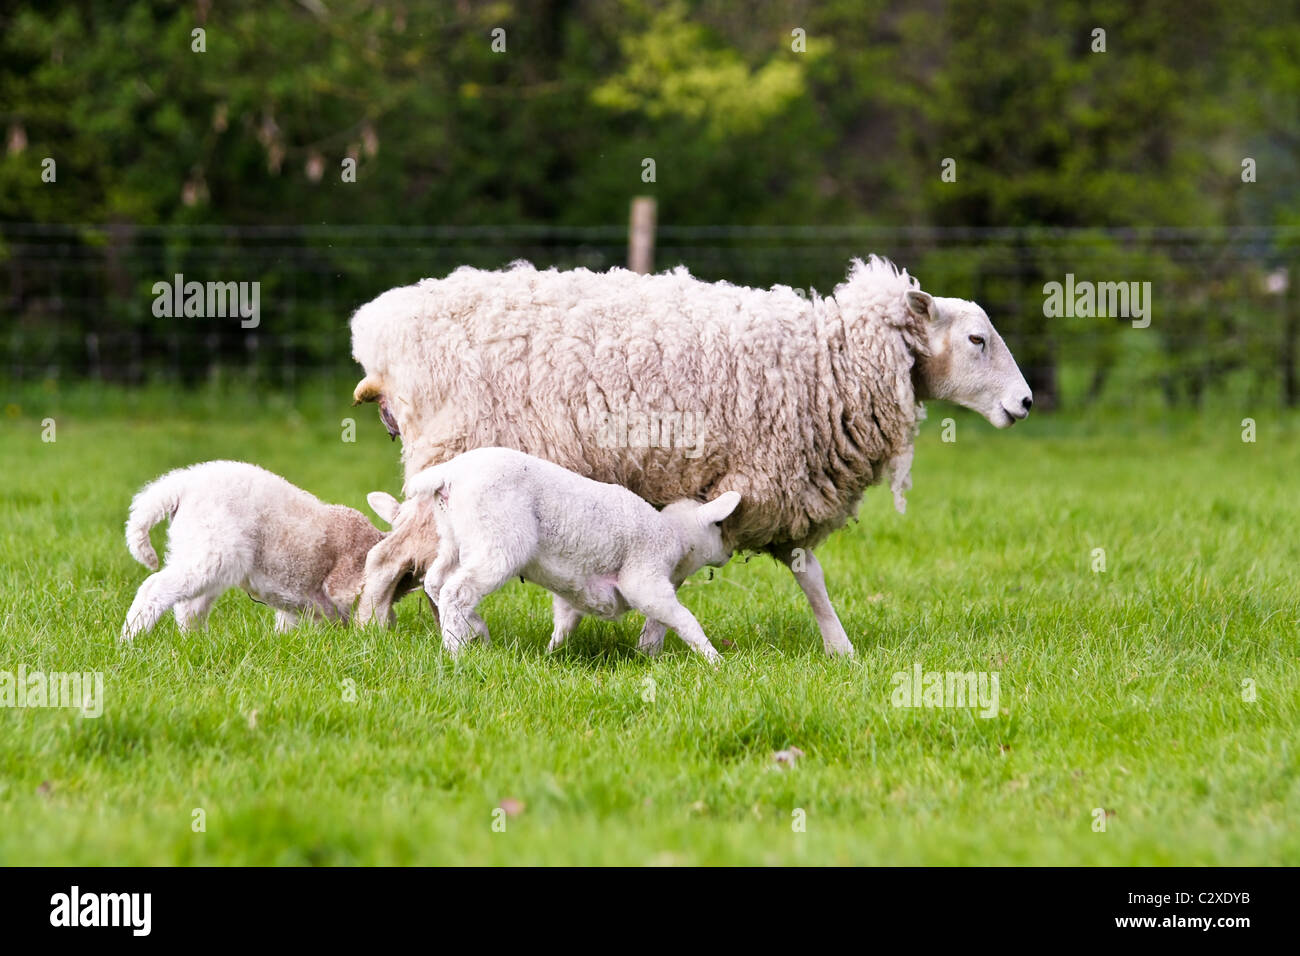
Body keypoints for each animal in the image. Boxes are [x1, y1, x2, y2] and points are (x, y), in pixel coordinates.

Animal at [120, 460, 416, 640]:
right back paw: (131, 638)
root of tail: (180, 485)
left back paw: (195, 640)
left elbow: (290, 619)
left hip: (200, 549)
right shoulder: (346, 579)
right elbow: (366, 605)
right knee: (155, 587)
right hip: (213, 548)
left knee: (189, 606)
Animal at [403, 446, 741, 660]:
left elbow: (565, 624)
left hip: (454, 537)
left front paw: (551, 656)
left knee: (436, 582)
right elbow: (682, 619)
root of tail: (450, 471)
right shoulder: (645, 580)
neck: (674, 534)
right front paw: (714, 660)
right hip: (499, 538)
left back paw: (474, 629)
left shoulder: (573, 594)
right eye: (719, 526)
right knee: (456, 591)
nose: (729, 555)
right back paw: (456, 651)